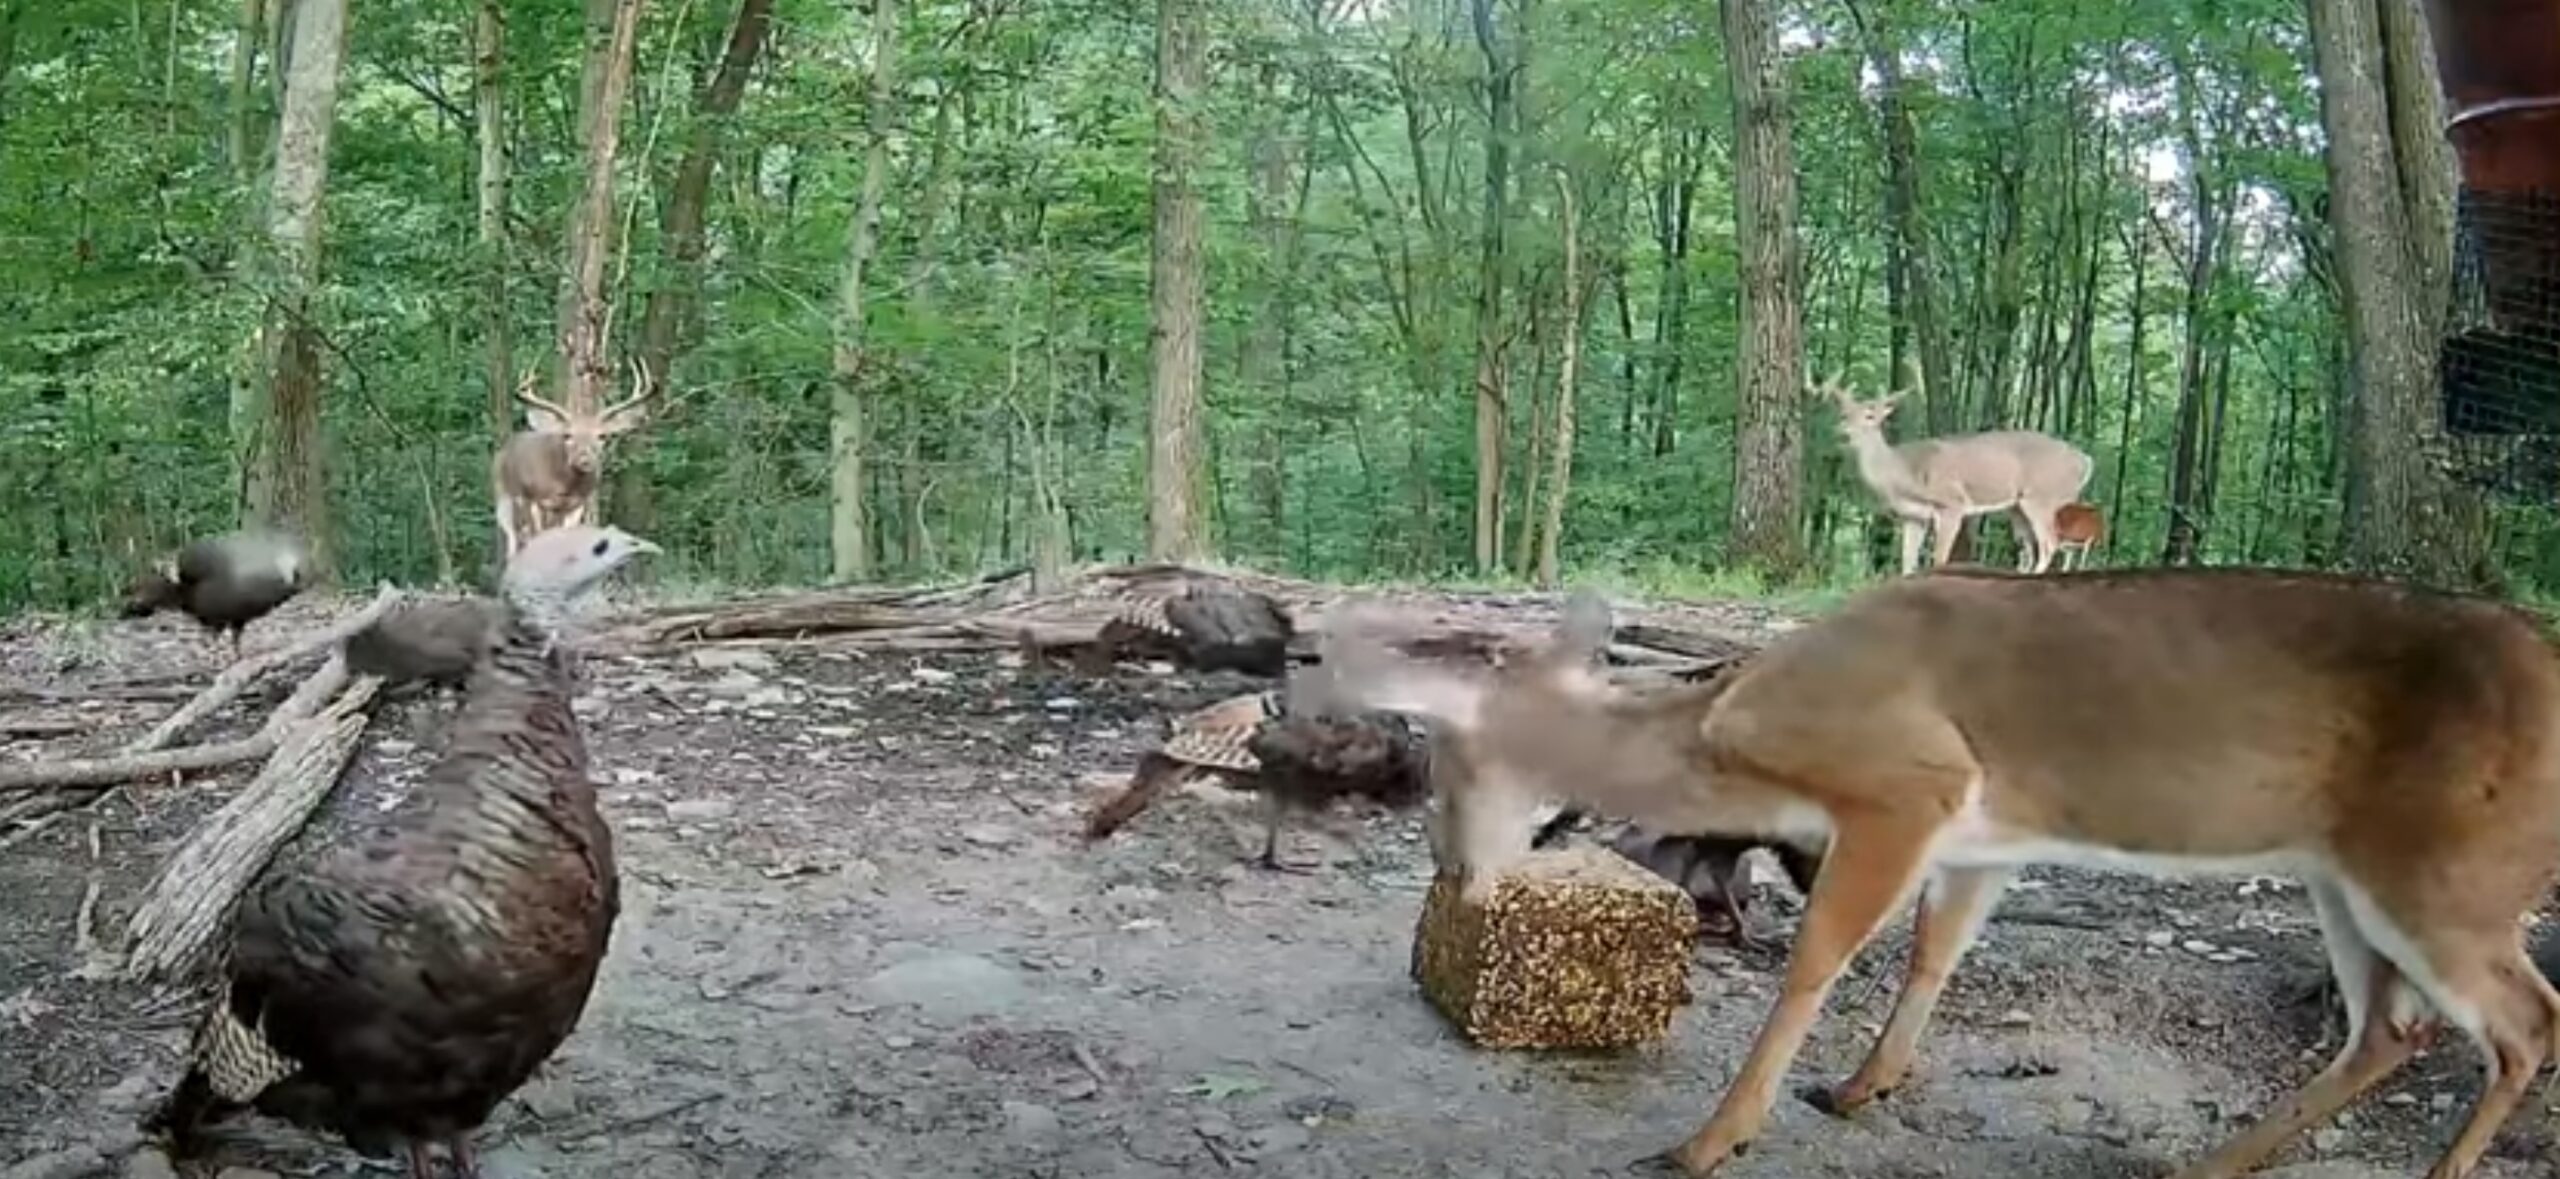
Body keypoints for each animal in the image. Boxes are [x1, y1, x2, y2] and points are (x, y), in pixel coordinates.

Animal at [491, 364, 655, 560]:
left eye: (602, 436)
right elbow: (536, 538)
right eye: (568, 435)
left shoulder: (577, 505)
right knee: (513, 540)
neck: (564, 487)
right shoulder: (533, 499)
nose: (585, 459)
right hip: (505, 497)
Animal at [1298, 574, 2560, 1179]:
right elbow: (1932, 955)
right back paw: (2204, 1165)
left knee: (2524, 1018)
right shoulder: (1985, 838)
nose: (1451, 871)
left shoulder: (1905, 788)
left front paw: (1710, 1140)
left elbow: (1815, 963)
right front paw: (1862, 1087)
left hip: (2447, 868)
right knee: (2390, 1028)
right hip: (2346, 872)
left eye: (1448, 768)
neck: (1737, 729)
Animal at [1820, 376, 2095, 576]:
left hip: (2044, 497)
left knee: (2051, 544)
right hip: (2019, 508)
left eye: (1870, 416)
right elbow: (1907, 564)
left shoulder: (1952, 504)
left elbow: (1939, 559)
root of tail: (2085, 461)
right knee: (2040, 548)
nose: (1842, 432)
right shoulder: (1913, 516)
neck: (1905, 473)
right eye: (1843, 414)